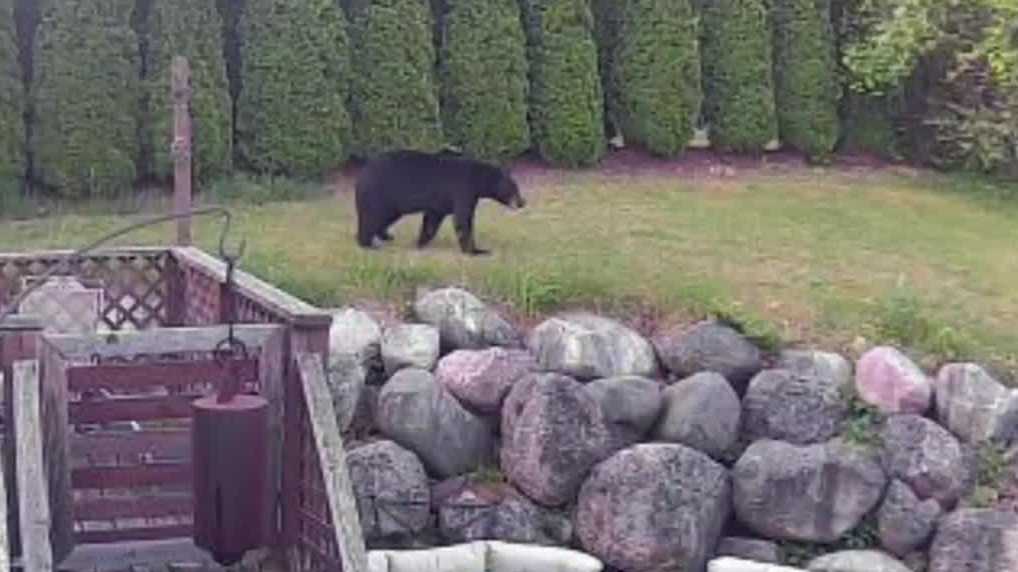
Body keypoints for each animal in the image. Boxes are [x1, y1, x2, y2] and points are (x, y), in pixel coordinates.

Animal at [354, 149, 526, 256]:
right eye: (515, 188)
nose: (522, 202)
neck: (479, 179)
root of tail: (363, 172)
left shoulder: (439, 203)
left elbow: (432, 219)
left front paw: (420, 242)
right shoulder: (463, 189)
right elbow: (463, 219)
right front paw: (477, 251)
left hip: (391, 202)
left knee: (386, 217)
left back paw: (385, 235)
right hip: (380, 193)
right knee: (372, 217)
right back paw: (367, 243)